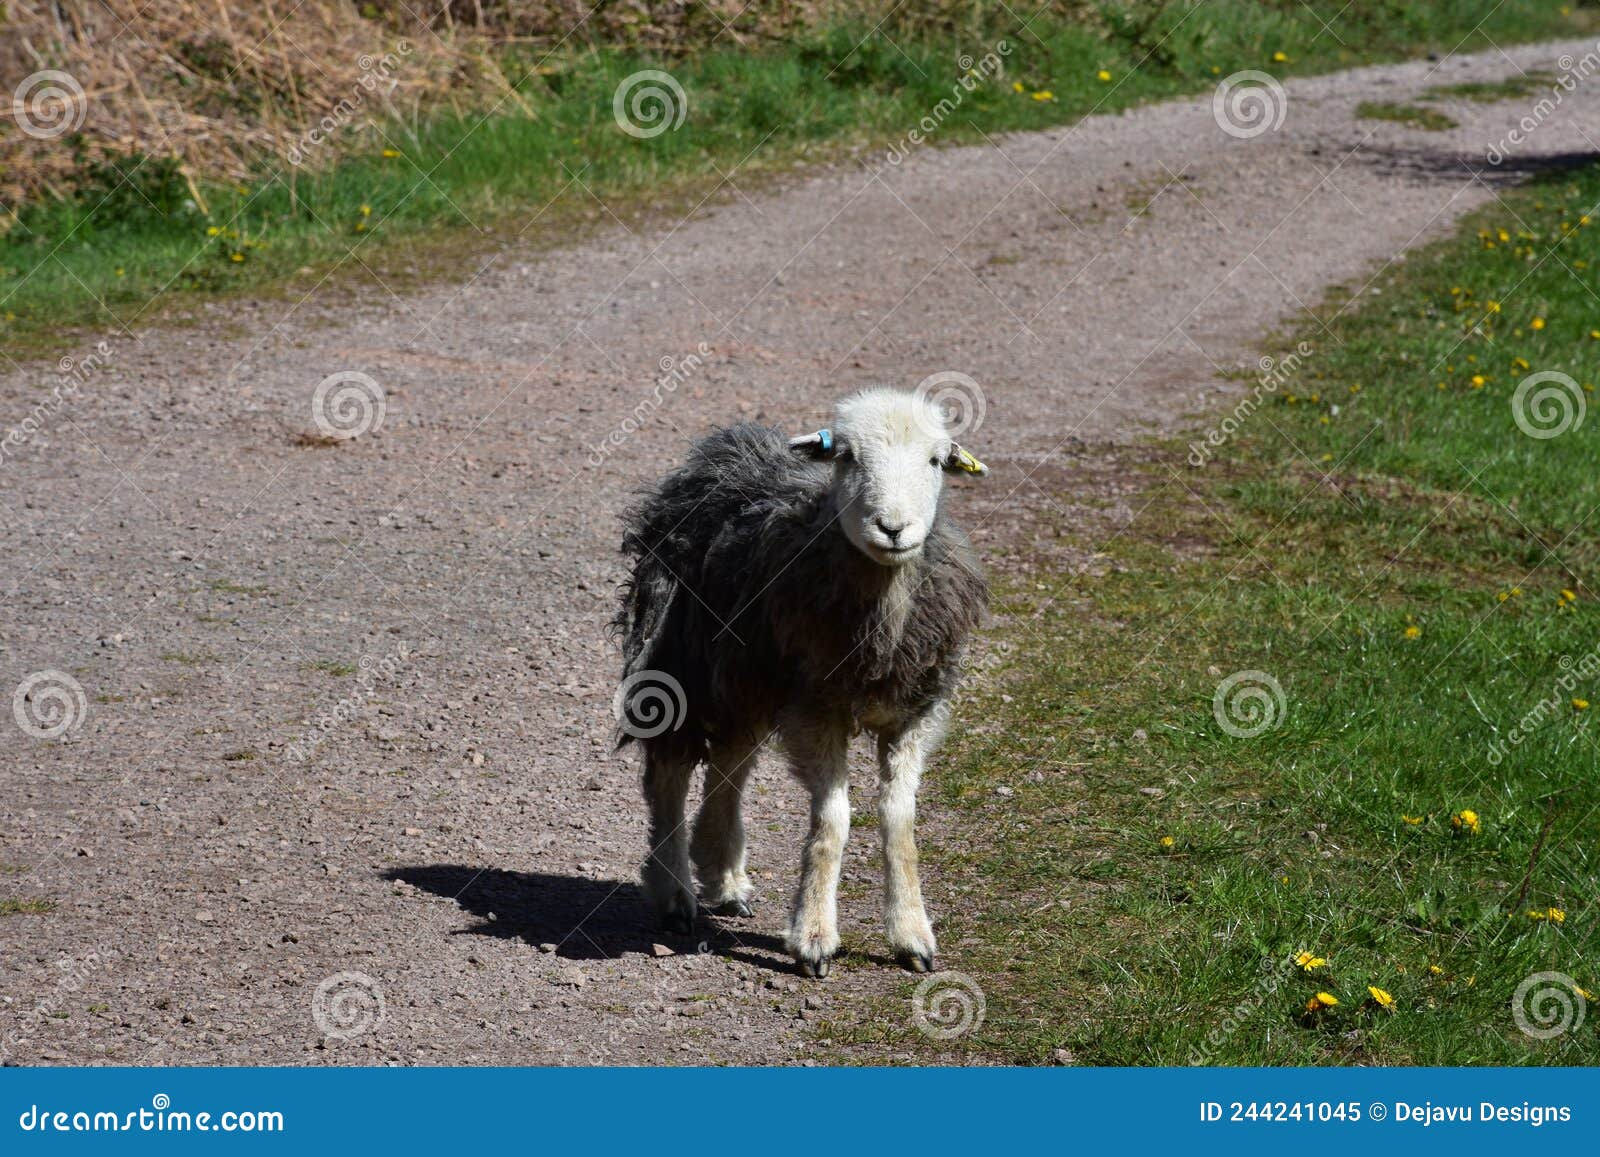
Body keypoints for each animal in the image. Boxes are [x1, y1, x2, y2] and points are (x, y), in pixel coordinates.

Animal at [613, 386, 989, 977]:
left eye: (935, 461)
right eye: (848, 457)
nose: (894, 528)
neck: (881, 624)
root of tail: (727, 448)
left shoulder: (915, 712)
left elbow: (899, 820)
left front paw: (912, 934)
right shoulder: (817, 709)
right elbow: (832, 822)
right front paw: (814, 938)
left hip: (747, 678)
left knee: (730, 764)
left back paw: (724, 876)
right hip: (680, 663)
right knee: (668, 777)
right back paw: (675, 893)